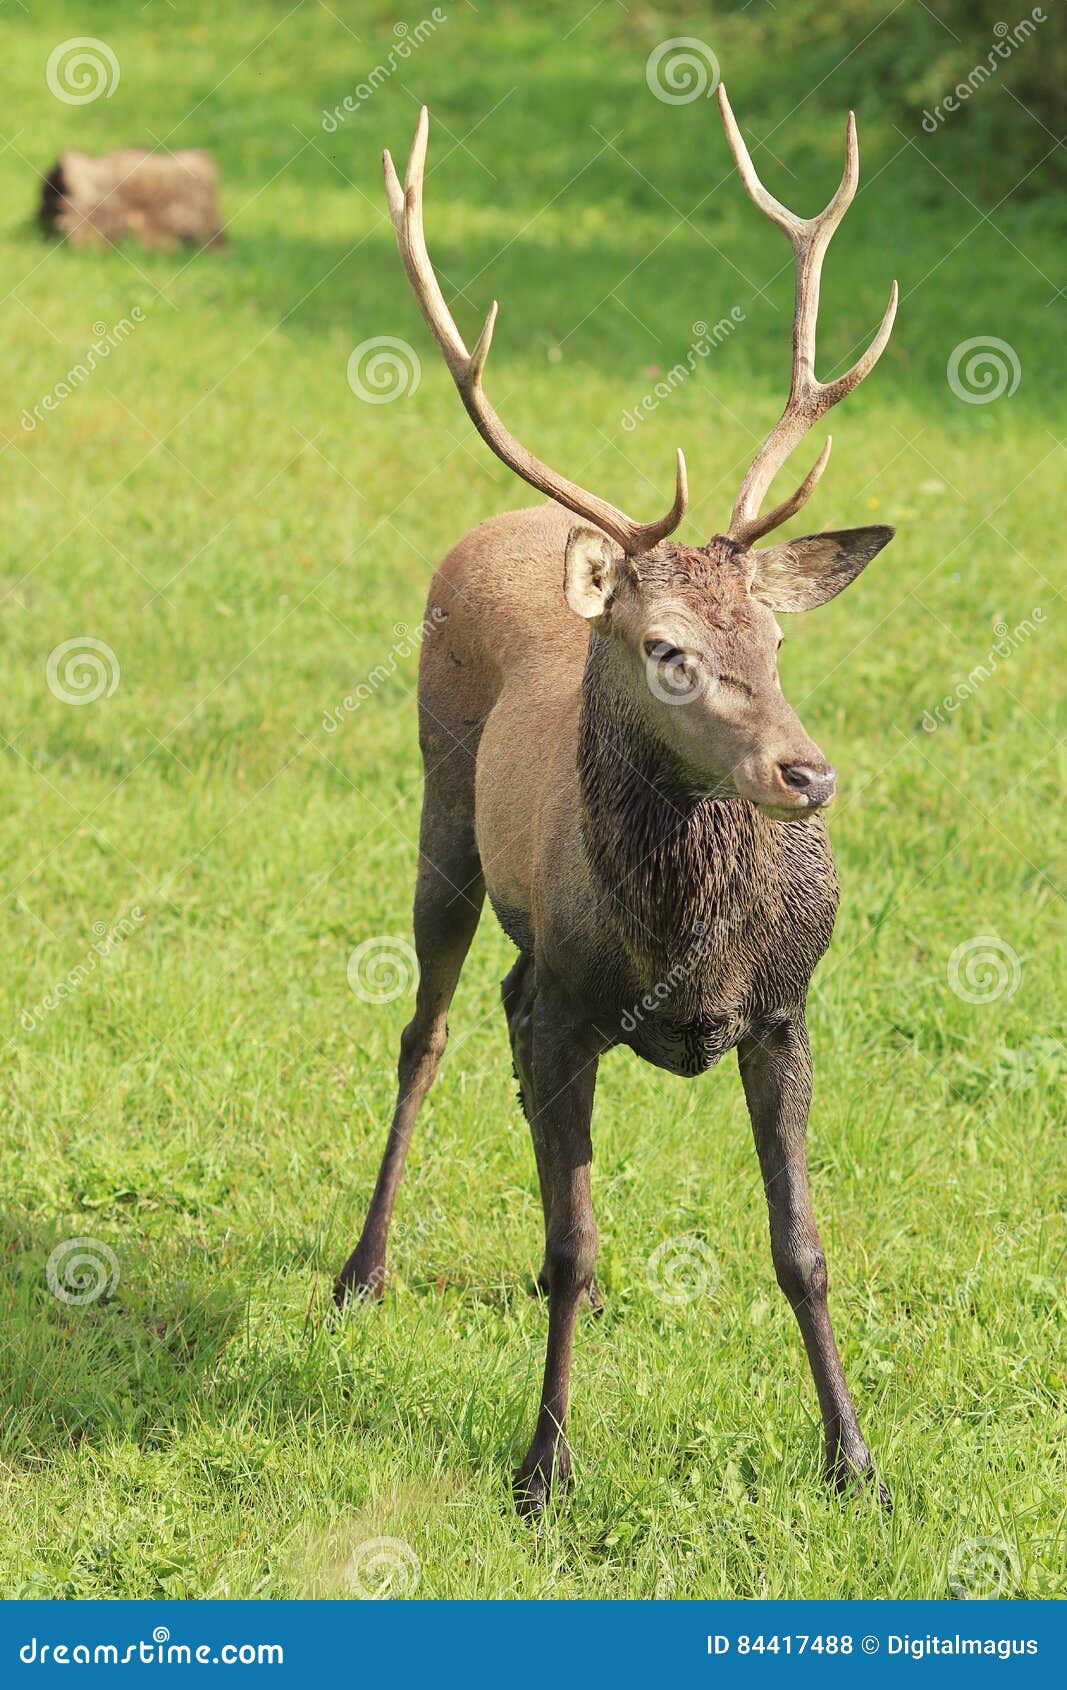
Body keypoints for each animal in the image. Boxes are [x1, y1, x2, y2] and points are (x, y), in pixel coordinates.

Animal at [336, 86, 899, 1518]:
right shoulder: (577, 1014)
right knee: (425, 1030)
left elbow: (802, 1246)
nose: (806, 773)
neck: (686, 953)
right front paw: (541, 1467)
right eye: (665, 650)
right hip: (438, 815)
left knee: (494, 1001)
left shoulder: (787, 1008)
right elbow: (571, 1245)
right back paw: (361, 1267)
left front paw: (854, 1461)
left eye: (775, 635)